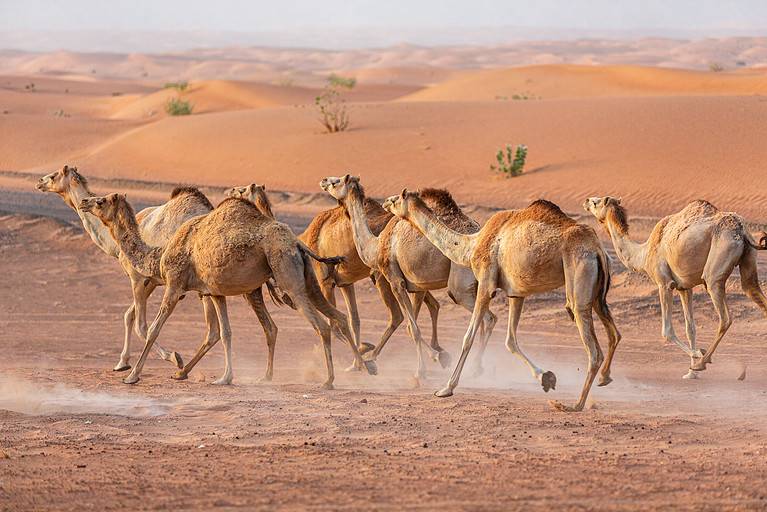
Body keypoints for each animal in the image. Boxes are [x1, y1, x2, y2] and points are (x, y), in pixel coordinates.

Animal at [80, 193, 376, 387]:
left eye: (101, 201)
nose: (84, 202)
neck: (160, 253)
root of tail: (296, 242)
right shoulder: (214, 293)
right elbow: (224, 332)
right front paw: (222, 377)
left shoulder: (174, 284)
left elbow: (154, 329)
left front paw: (133, 376)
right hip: (306, 277)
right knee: (336, 317)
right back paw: (361, 368)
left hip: (286, 274)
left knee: (321, 325)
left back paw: (328, 380)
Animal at [321, 175, 498, 382]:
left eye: (337, 182)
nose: (324, 180)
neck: (376, 245)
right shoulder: (416, 284)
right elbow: (412, 325)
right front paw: (438, 357)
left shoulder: (395, 280)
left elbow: (412, 328)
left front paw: (421, 371)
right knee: (484, 318)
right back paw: (481, 368)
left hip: (460, 284)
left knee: (486, 317)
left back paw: (476, 368)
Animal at [384, 190, 621, 412]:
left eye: (397, 199)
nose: (386, 203)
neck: (470, 245)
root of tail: (597, 249)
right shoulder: (516, 292)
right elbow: (510, 340)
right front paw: (546, 377)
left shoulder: (485, 281)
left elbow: (468, 337)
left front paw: (446, 388)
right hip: (598, 291)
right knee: (613, 332)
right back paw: (604, 378)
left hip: (578, 276)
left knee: (592, 348)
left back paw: (573, 405)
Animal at [584, 197, 767, 378]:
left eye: (596, 202)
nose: (586, 201)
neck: (643, 254)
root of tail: (741, 229)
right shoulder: (684, 288)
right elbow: (690, 328)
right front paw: (690, 373)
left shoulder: (664, 284)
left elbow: (667, 331)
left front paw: (697, 356)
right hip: (748, 261)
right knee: (752, 289)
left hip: (715, 271)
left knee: (725, 317)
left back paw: (702, 362)